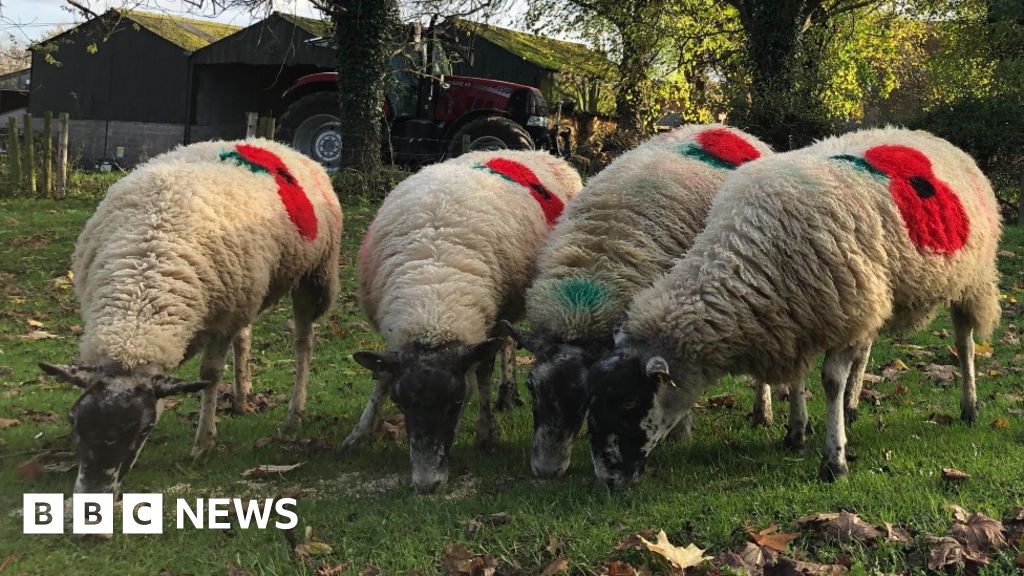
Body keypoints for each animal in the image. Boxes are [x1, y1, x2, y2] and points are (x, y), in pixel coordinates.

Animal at [39, 138, 343, 495]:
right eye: (73, 420)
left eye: (144, 429)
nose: (93, 495)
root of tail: (271, 143)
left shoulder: (222, 319)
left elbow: (209, 375)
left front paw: (203, 444)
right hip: (248, 288)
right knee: (245, 335)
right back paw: (242, 398)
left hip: (313, 276)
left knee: (303, 342)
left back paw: (294, 417)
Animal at [346, 150, 582, 493]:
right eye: (401, 404)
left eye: (456, 403)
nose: (427, 484)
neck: (433, 302)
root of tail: (536, 152)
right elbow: (383, 377)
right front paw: (359, 434)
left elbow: (482, 371)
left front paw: (487, 435)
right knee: (507, 341)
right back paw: (506, 395)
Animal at [502, 124, 775, 479]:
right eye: (531, 386)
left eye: (586, 398)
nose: (546, 471)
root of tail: (726, 128)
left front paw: (681, 433)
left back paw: (763, 412)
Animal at [585, 127, 1001, 488]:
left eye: (628, 402)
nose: (608, 480)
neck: (748, 253)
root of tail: (929, 136)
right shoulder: (800, 314)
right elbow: (798, 378)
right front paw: (797, 432)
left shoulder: (836, 308)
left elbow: (829, 381)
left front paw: (834, 460)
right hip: (878, 288)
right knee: (868, 347)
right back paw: (853, 405)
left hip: (971, 278)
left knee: (964, 344)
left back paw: (970, 406)